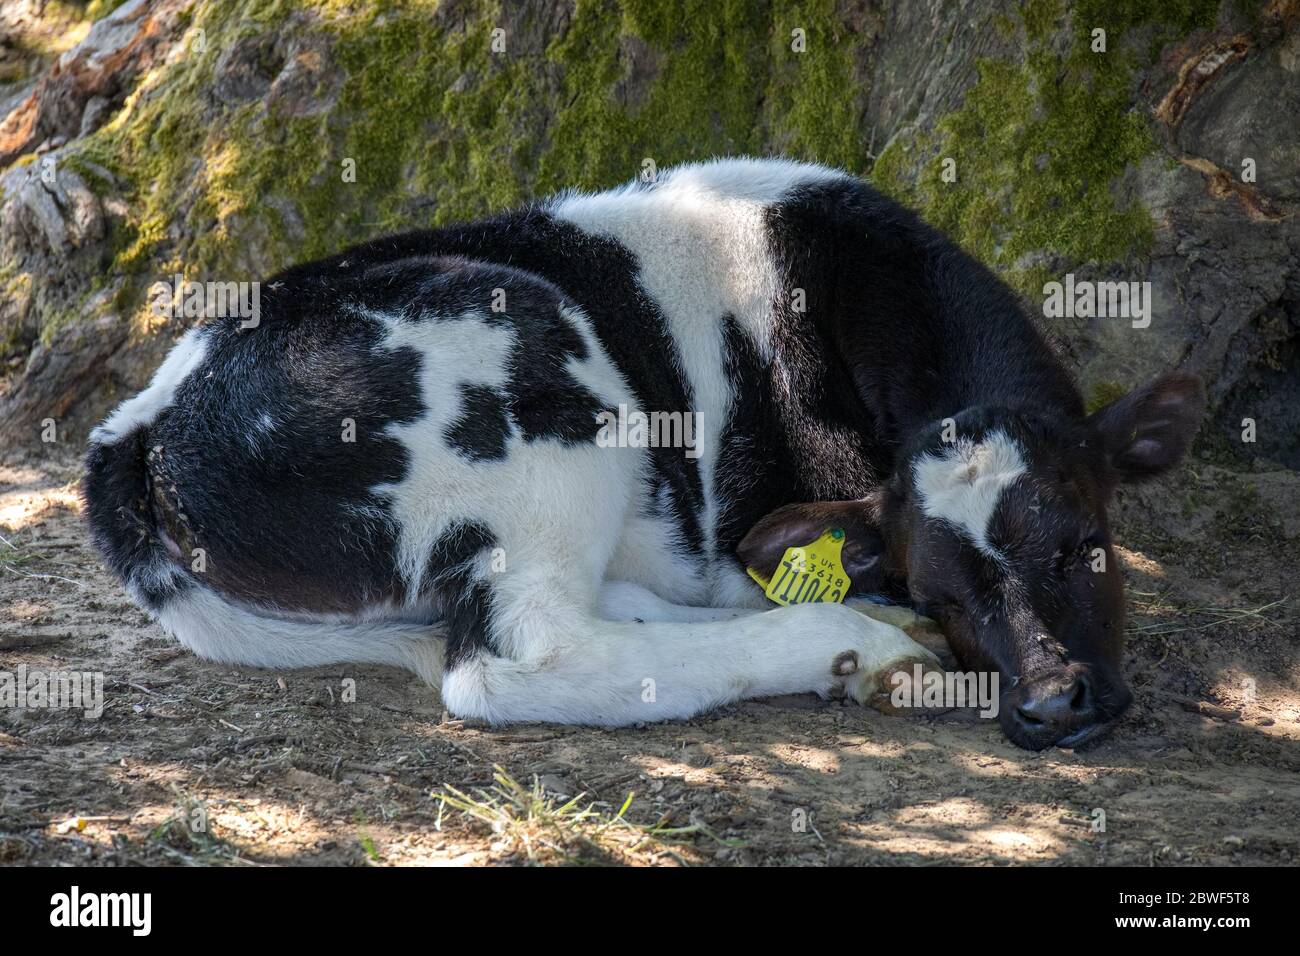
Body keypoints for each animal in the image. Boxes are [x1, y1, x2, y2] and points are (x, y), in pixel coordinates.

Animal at [82, 158, 1204, 750]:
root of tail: (138, 425)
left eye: (1086, 544)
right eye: (946, 588)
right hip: (531, 361)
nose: (1053, 703)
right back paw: (853, 645)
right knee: (516, 658)